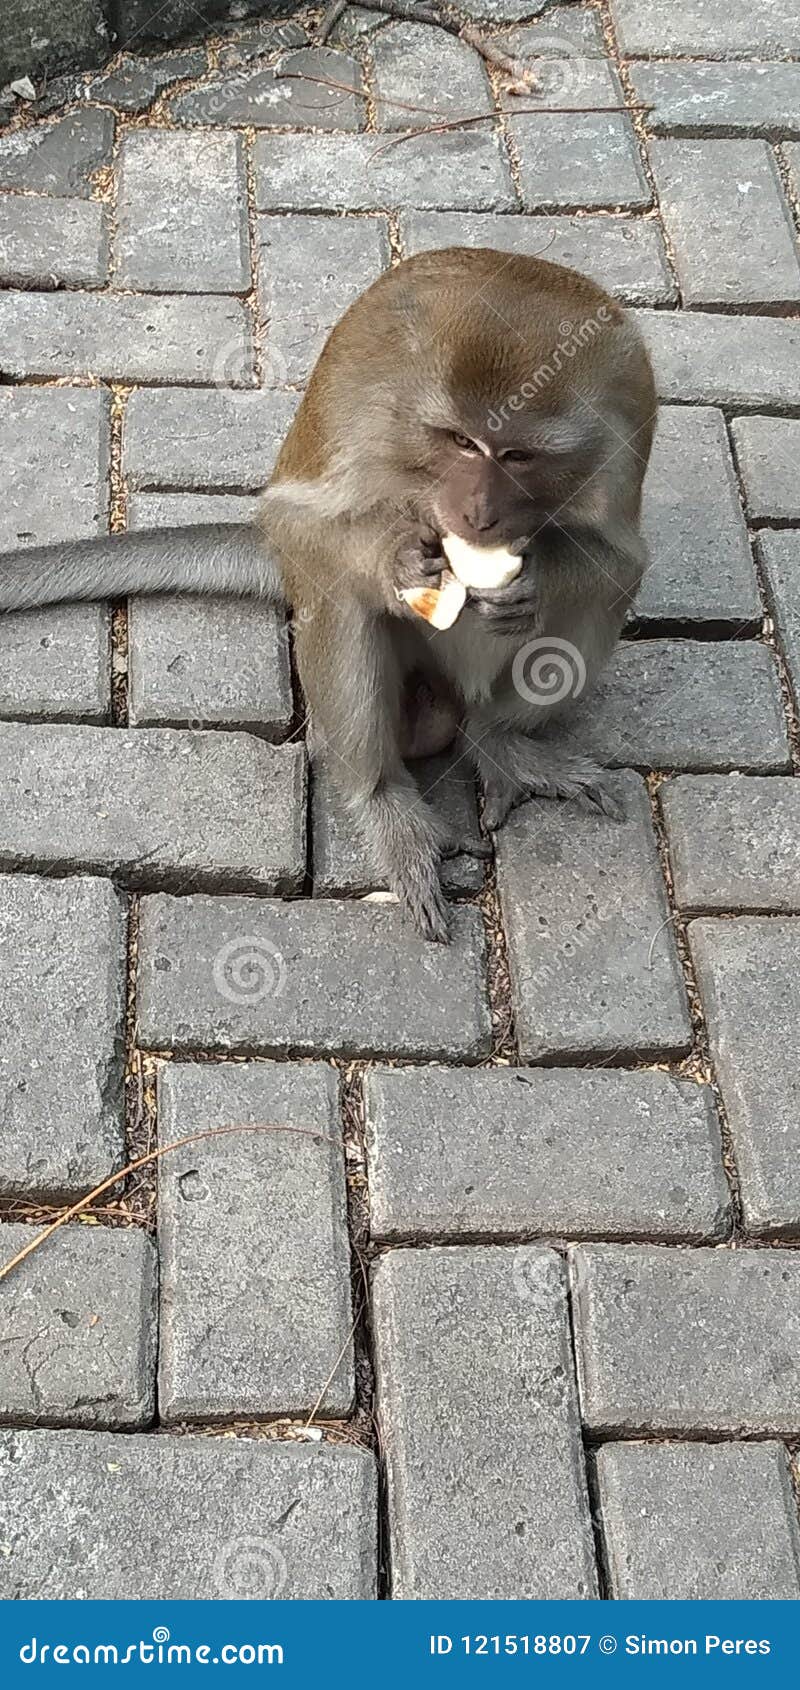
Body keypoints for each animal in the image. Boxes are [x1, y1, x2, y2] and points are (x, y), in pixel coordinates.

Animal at [0, 248, 656, 941]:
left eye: (518, 455)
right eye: (461, 441)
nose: (478, 512)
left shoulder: (625, 417)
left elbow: (618, 556)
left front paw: (530, 582)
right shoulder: (368, 407)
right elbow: (301, 525)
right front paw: (396, 558)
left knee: (605, 592)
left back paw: (495, 739)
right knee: (336, 595)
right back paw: (386, 803)